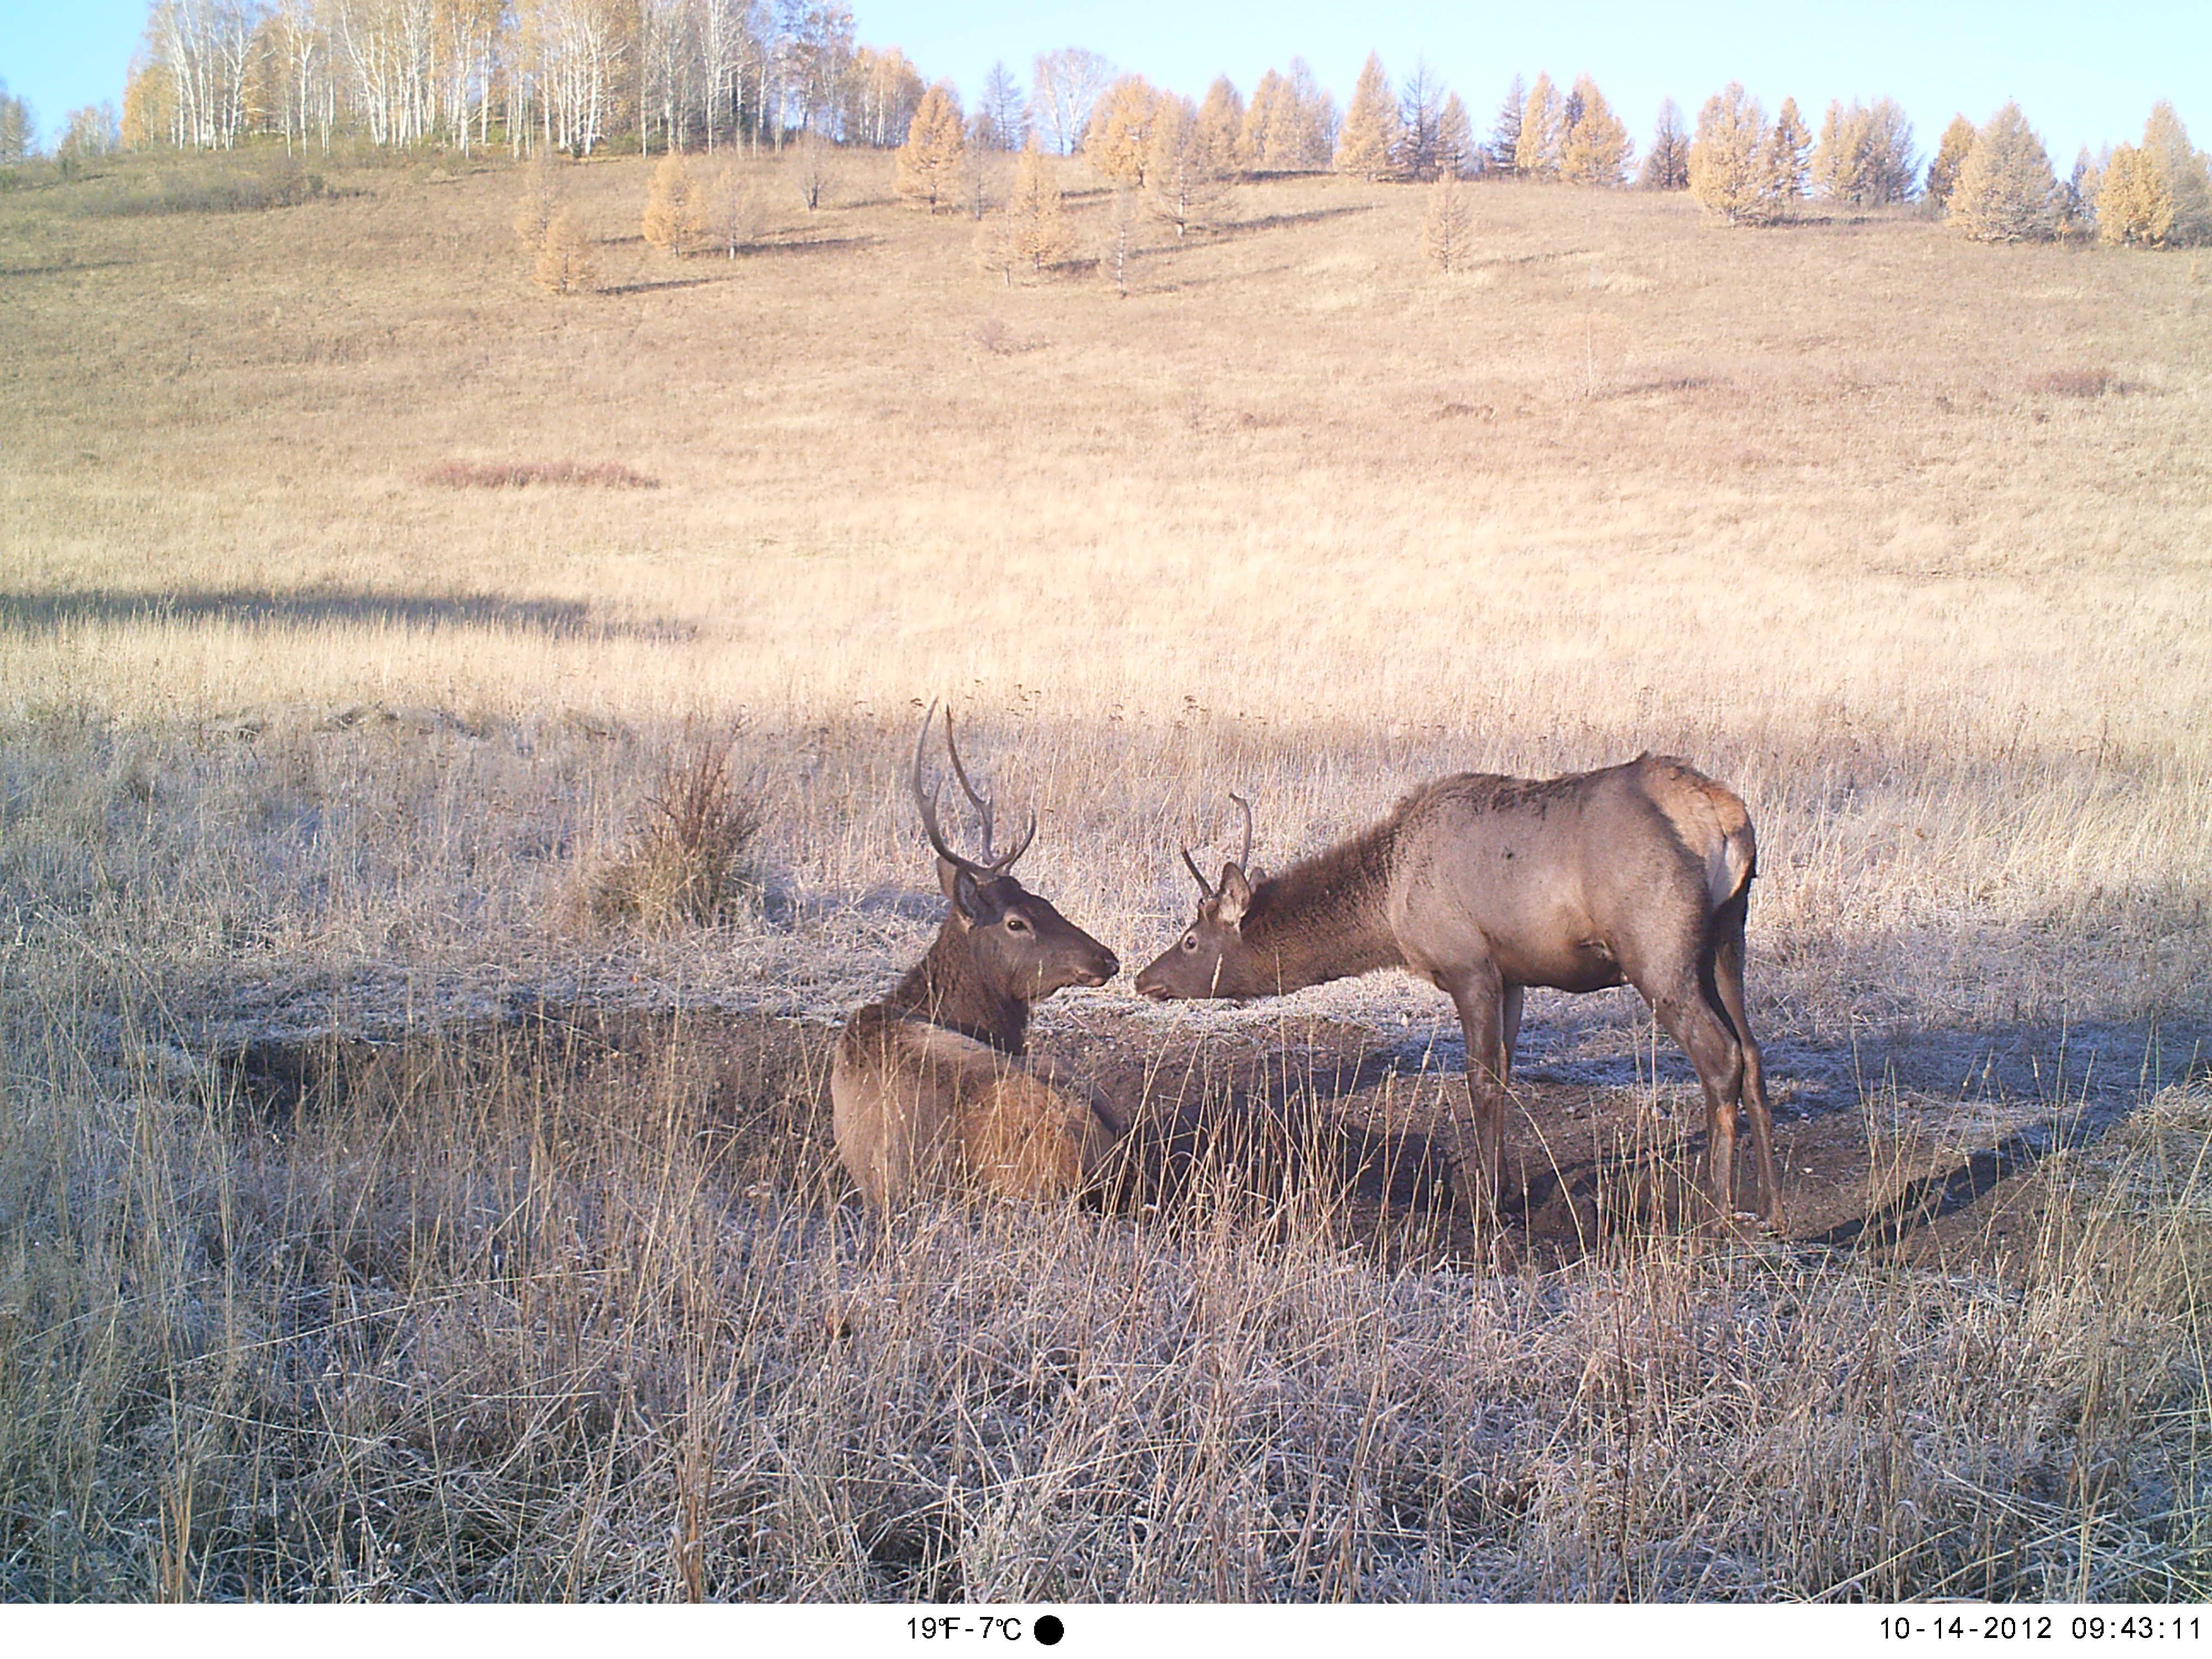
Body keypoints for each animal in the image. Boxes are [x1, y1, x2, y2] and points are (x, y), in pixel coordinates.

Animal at [1133, 756, 1785, 1231]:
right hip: (1728, 935)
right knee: (1754, 1055)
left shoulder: (1467, 962)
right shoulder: (1513, 972)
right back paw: (1771, 1207)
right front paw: (1502, 1190)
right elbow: (1505, 1071)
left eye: (1190, 940)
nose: (1143, 978)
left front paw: (1484, 1203)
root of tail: (1726, 817)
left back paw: (1717, 1212)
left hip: (1657, 948)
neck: (1389, 909)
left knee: (1720, 1056)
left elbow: (1481, 1079)